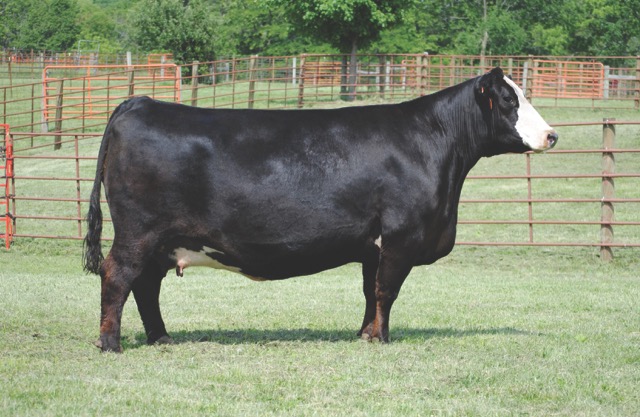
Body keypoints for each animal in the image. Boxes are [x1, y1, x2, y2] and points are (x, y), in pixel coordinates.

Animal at [83, 67, 557, 352]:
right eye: (509, 100)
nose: (552, 135)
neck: (435, 145)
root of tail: (140, 102)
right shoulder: (401, 236)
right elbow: (388, 290)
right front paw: (381, 340)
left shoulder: (373, 245)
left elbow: (371, 292)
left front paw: (365, 334)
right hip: (138, 232)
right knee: (118, 276)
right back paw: (111, 344)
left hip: (160, 241)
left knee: (146, 285)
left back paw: (161, 338)